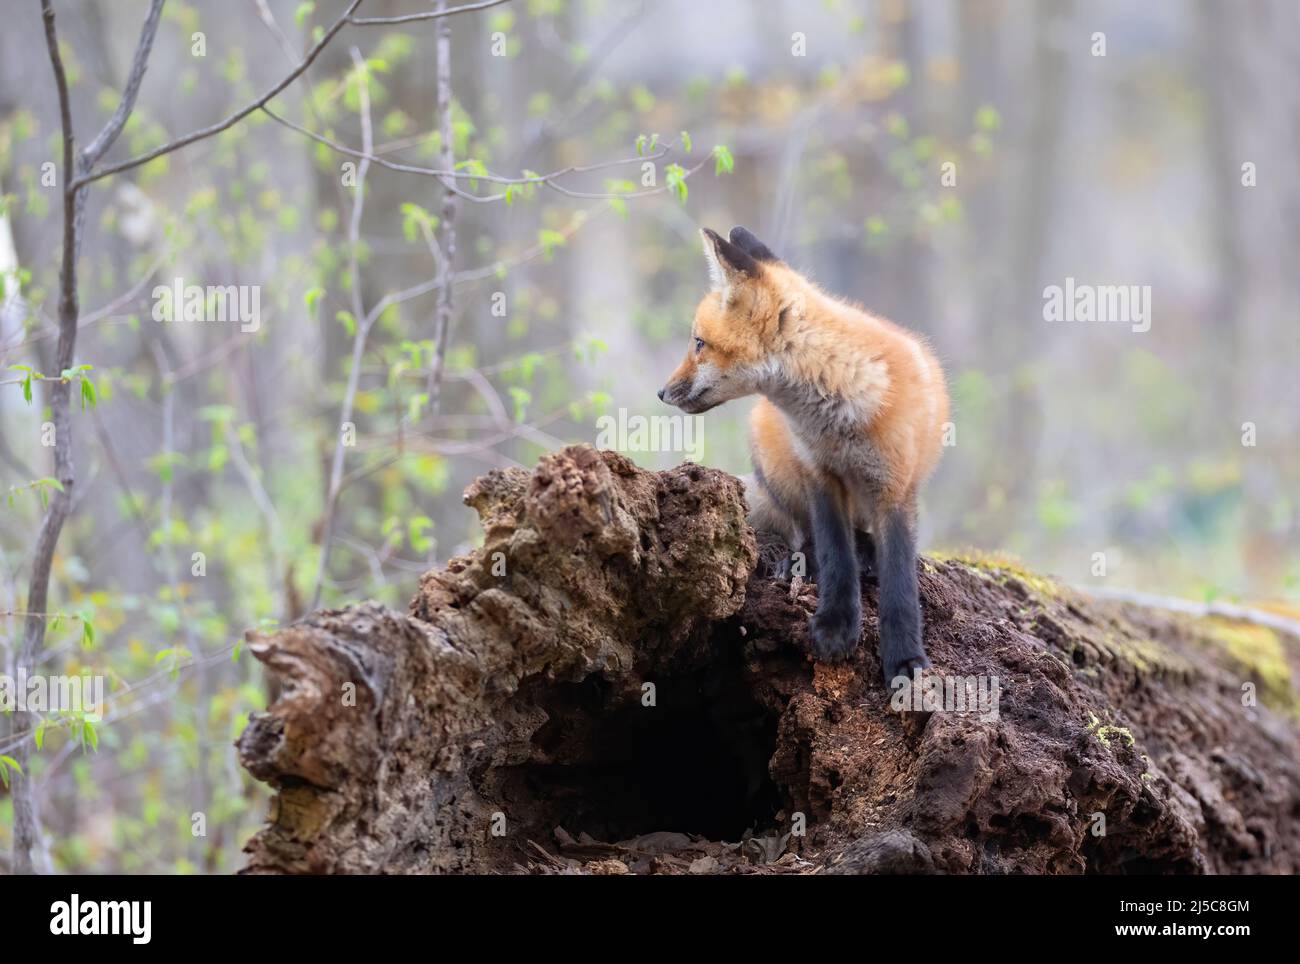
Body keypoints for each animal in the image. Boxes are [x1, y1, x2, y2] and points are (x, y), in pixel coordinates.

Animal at [658, 225, 950, 685]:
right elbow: (834, 553)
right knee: (803, 533)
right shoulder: (819, 474)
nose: (661, 392)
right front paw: (835, 627)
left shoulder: (894, 486)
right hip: (770, 454)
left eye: (699, 343)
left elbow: (900, 580)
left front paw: (905, 658)